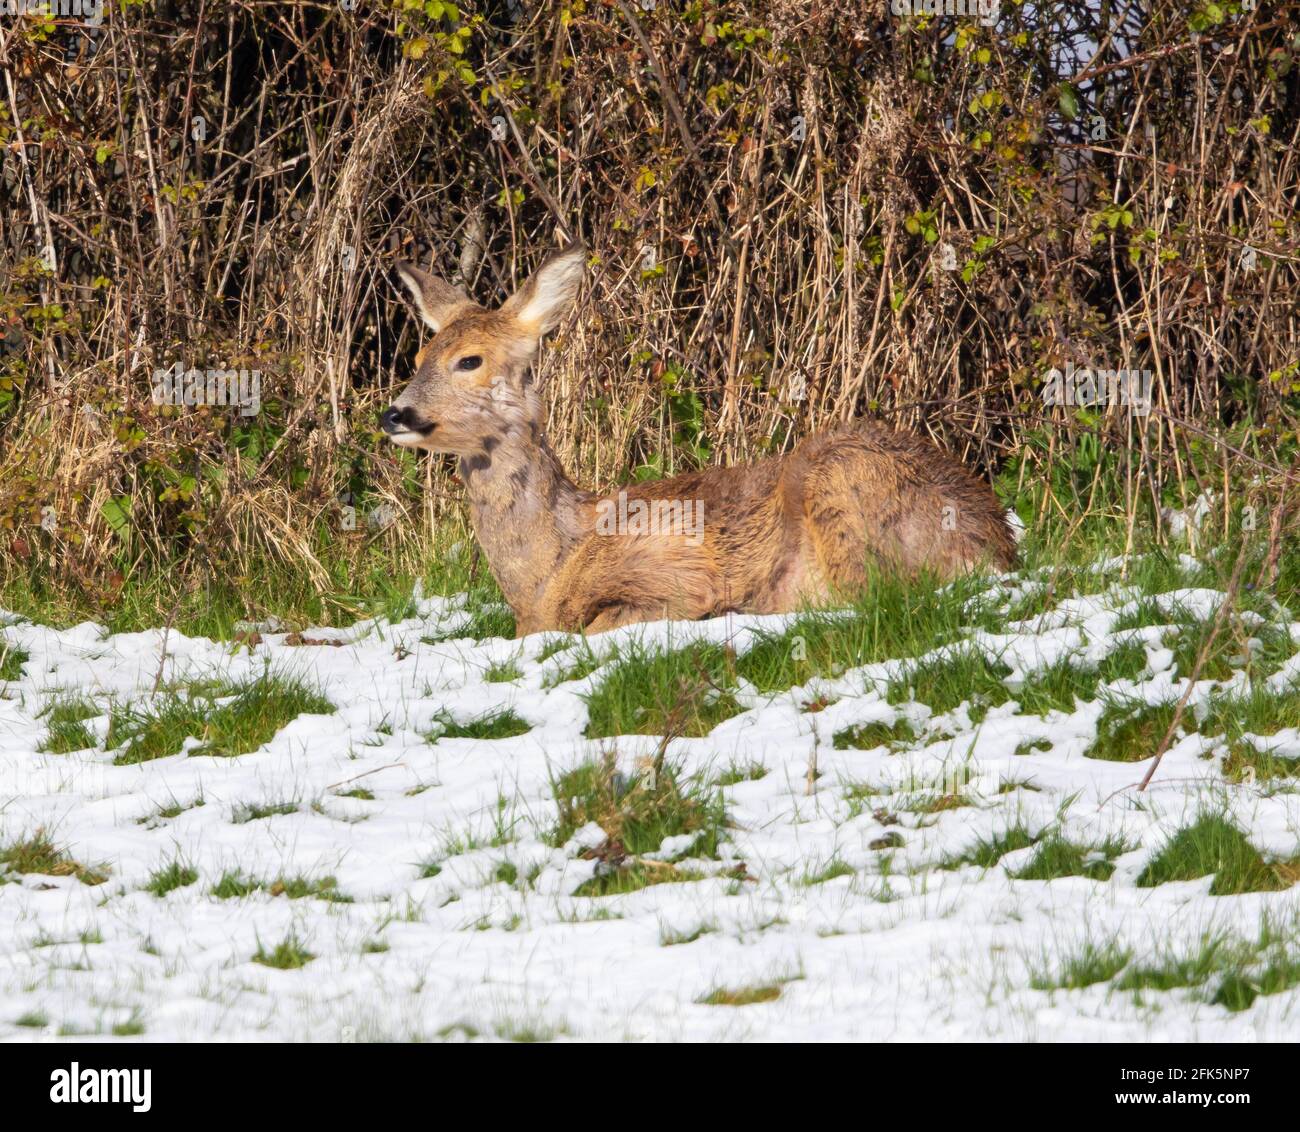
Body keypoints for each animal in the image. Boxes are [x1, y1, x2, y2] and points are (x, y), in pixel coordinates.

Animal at [382, 242, 1017, 637]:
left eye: (470, 360)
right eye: (418, 357)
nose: (395, 414)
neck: (545, 575)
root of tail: (995, 542)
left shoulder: (677, 574)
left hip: (843, 478)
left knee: (870, 590)